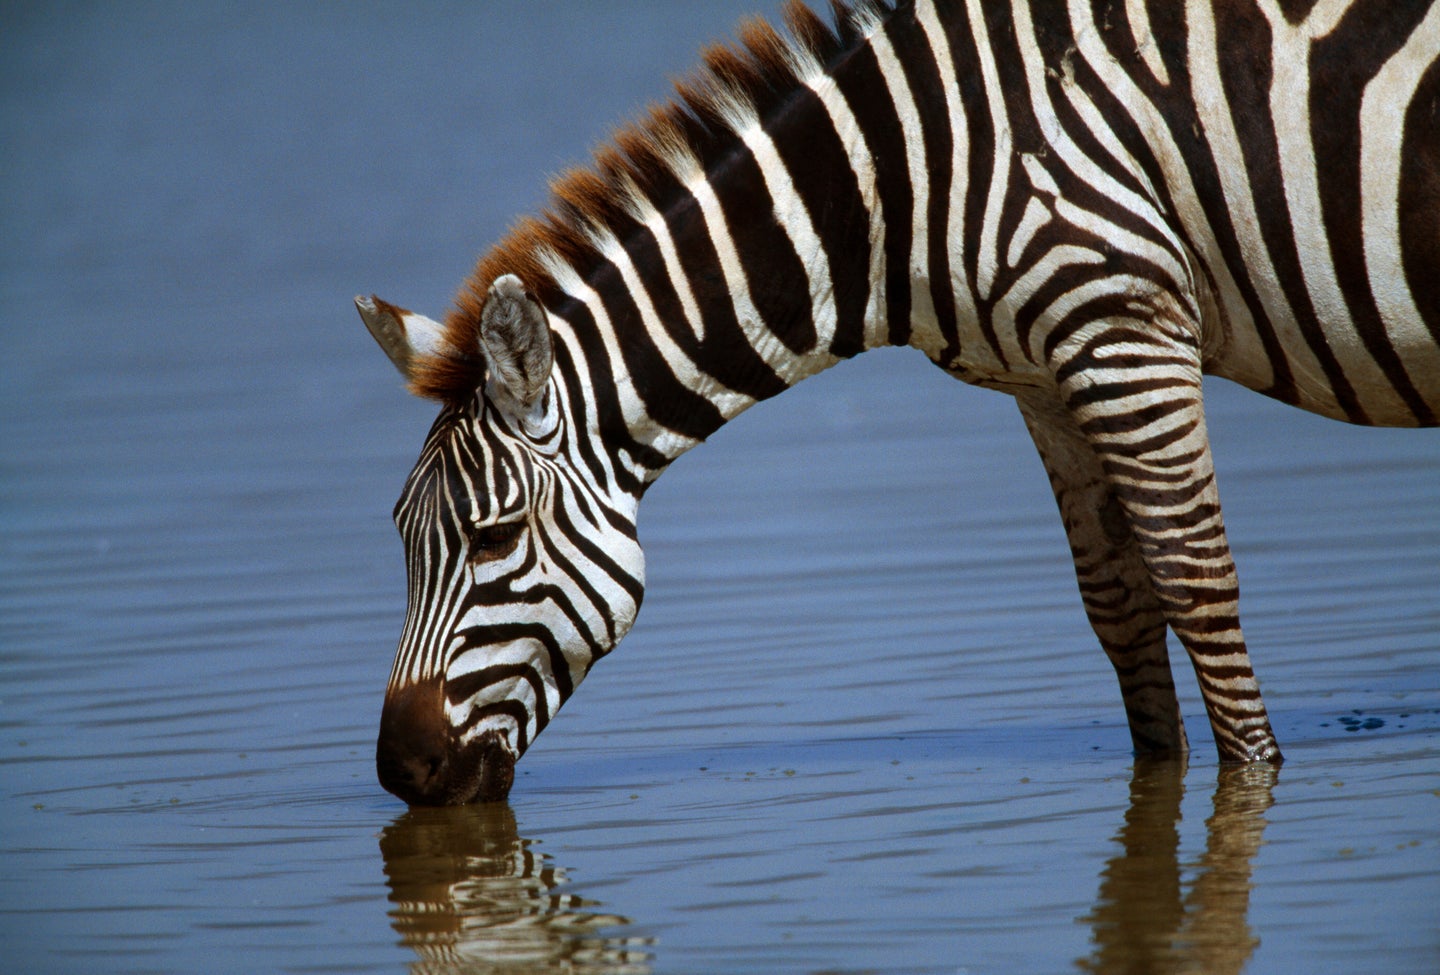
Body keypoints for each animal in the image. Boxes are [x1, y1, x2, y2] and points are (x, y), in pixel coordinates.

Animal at [357, 0, 1439, 805]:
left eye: (494, 538)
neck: (898, 188)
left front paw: (1254, 777)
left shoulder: (1124, 326)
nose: (400, 772)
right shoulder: (1048, 380)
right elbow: (1118, 605)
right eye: (402, 539)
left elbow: (1193, 579)